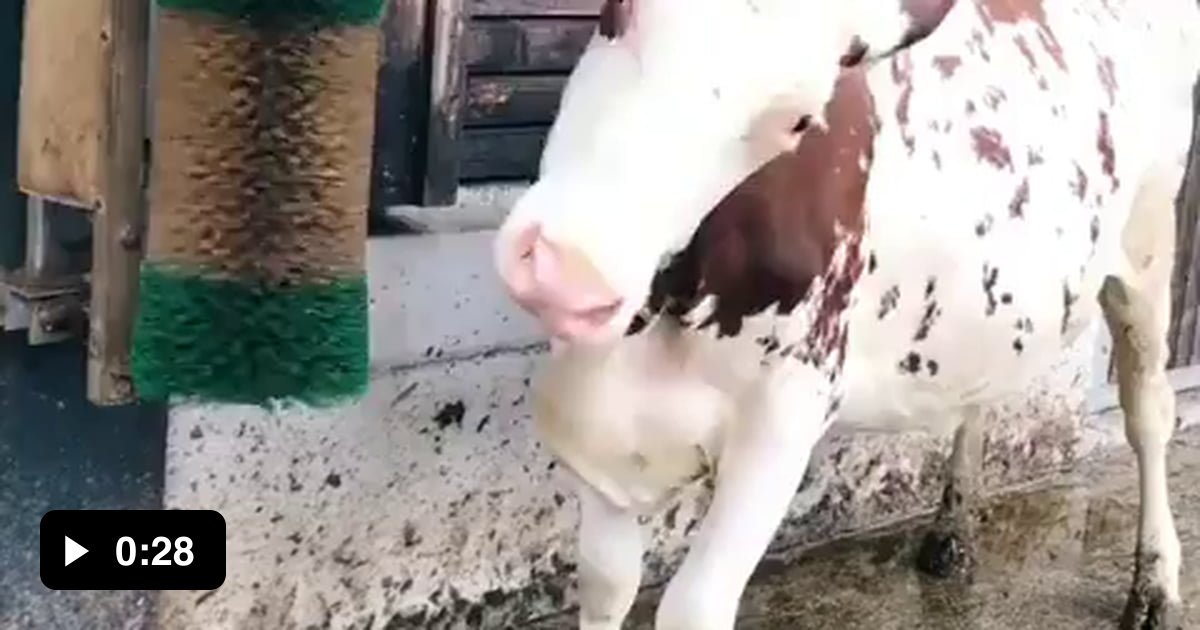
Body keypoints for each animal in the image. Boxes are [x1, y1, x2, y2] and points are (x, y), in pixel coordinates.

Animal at [492, 0, 1200, 628]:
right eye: (614, 13)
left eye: (800, 121)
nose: (567, 270)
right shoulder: (595, 430)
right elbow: (607, 584)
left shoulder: (782, 421)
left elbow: (693, 606)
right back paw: (954, 528)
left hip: (1148, 243)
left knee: (1148, 412)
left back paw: (1156, 585)